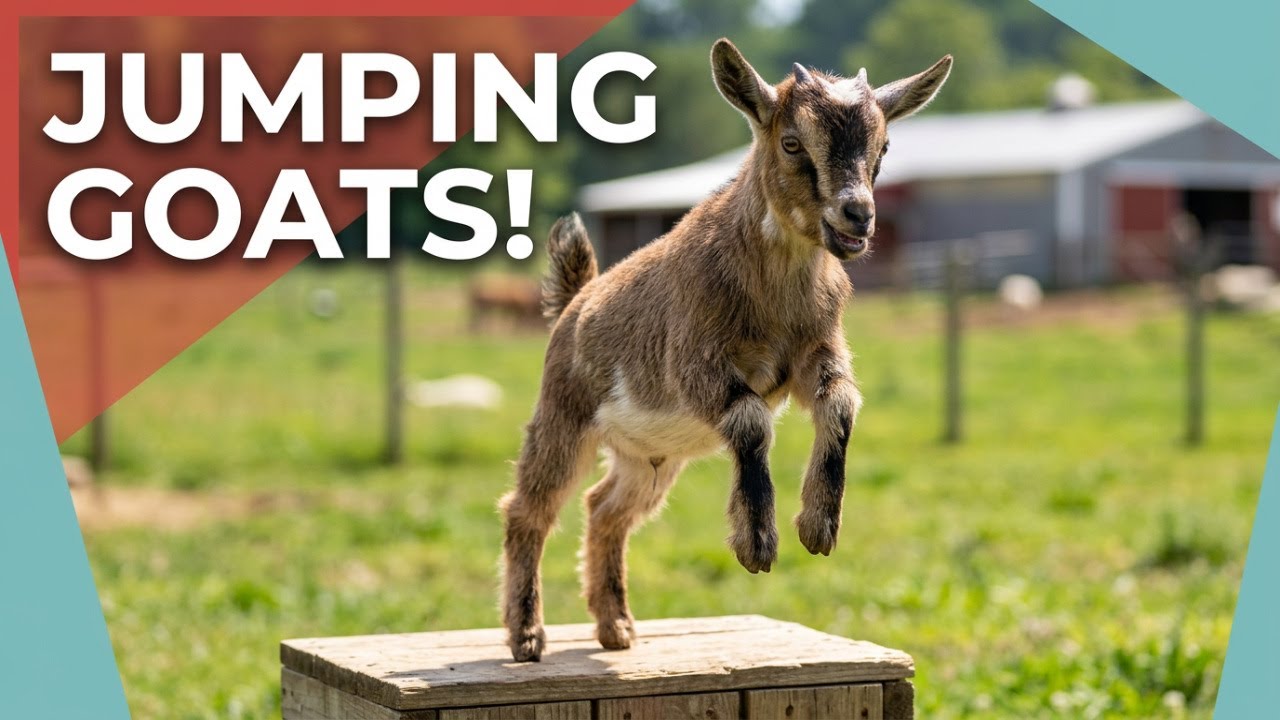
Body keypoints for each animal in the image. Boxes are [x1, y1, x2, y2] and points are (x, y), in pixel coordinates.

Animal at [500, 39, 951, 662]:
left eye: (884, 146)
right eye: (792, 142)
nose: (857, 215)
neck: (773, 293)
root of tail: (576, 301)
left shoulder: (818, 351)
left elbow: (840, 404)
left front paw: (818, 526)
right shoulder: (696, 364)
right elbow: (751, 420)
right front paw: (756, 543)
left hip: (649, 455)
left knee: (604, 507)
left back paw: (616, 627)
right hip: (563, 415)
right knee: (529, 509)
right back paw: (527, 636)